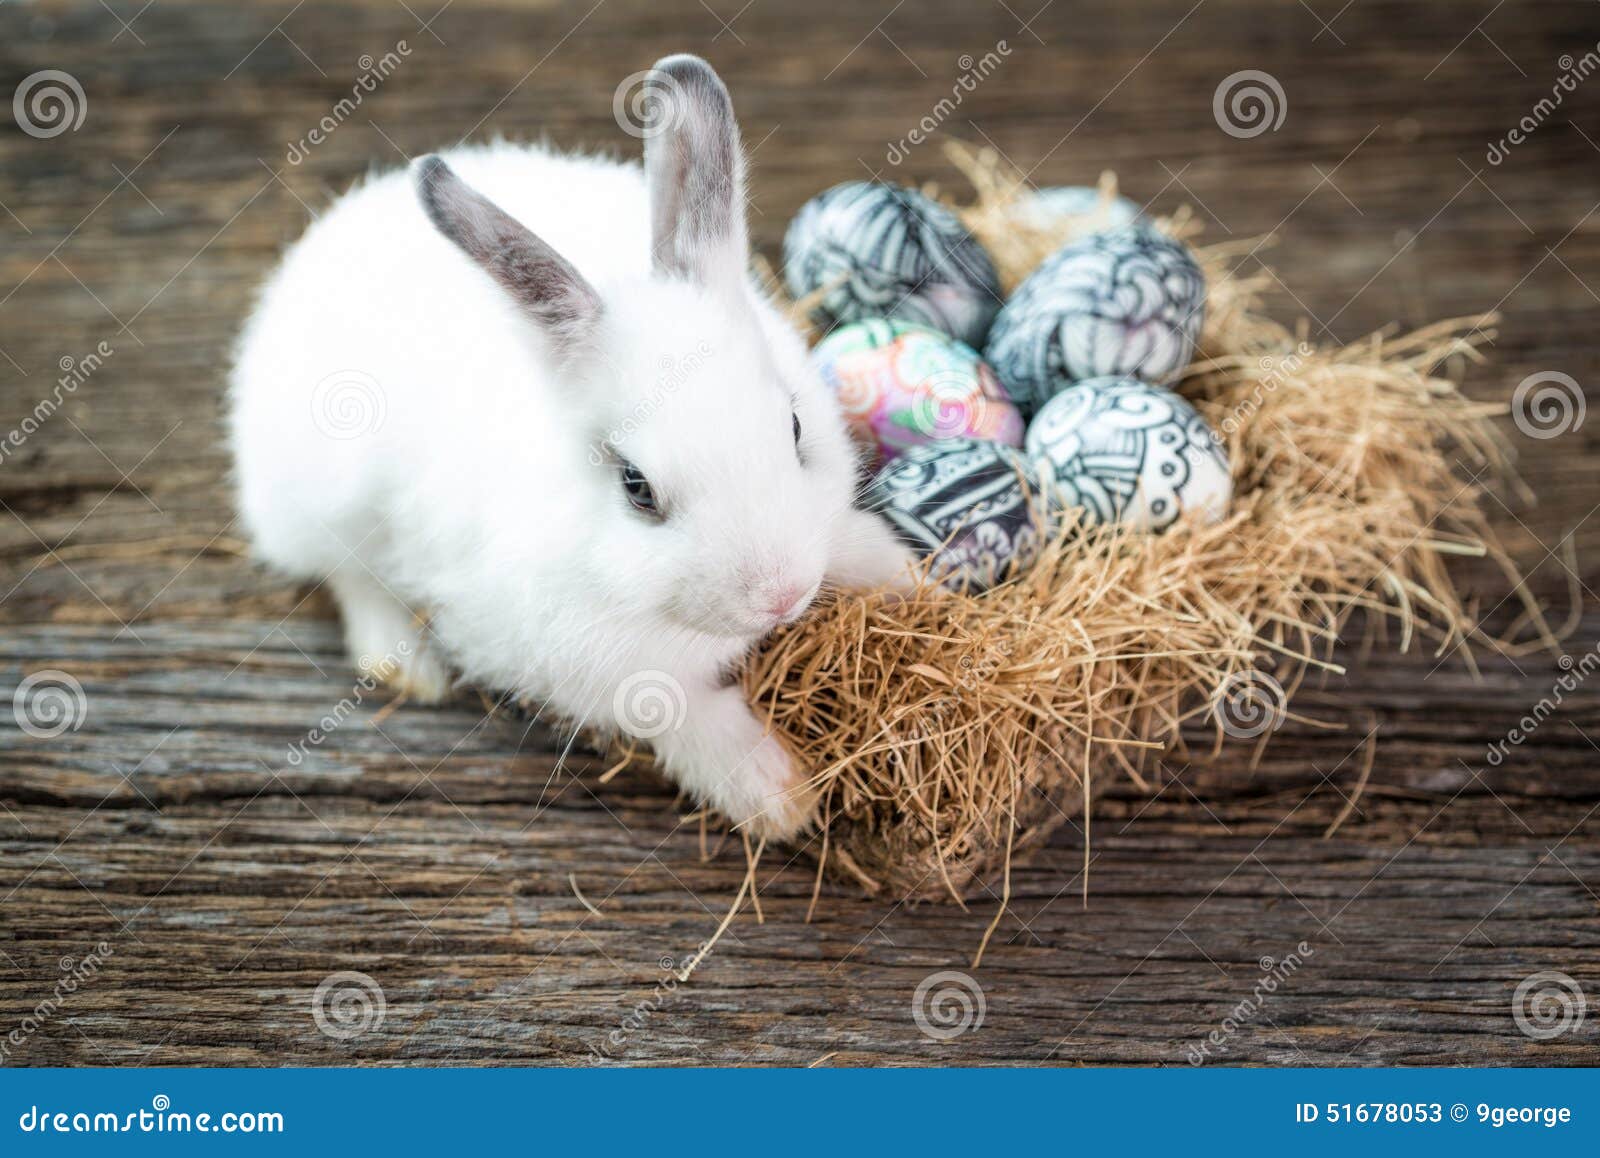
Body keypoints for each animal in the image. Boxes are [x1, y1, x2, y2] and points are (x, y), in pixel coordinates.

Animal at [227, 54, 915, 839]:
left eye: (795, 428)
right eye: (636, 488)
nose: (780, 596)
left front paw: (911, 577)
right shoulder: (592, 666)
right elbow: (681, 713)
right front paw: (776, 797)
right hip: (319, 505)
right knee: (349, 577)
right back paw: (409, 667)